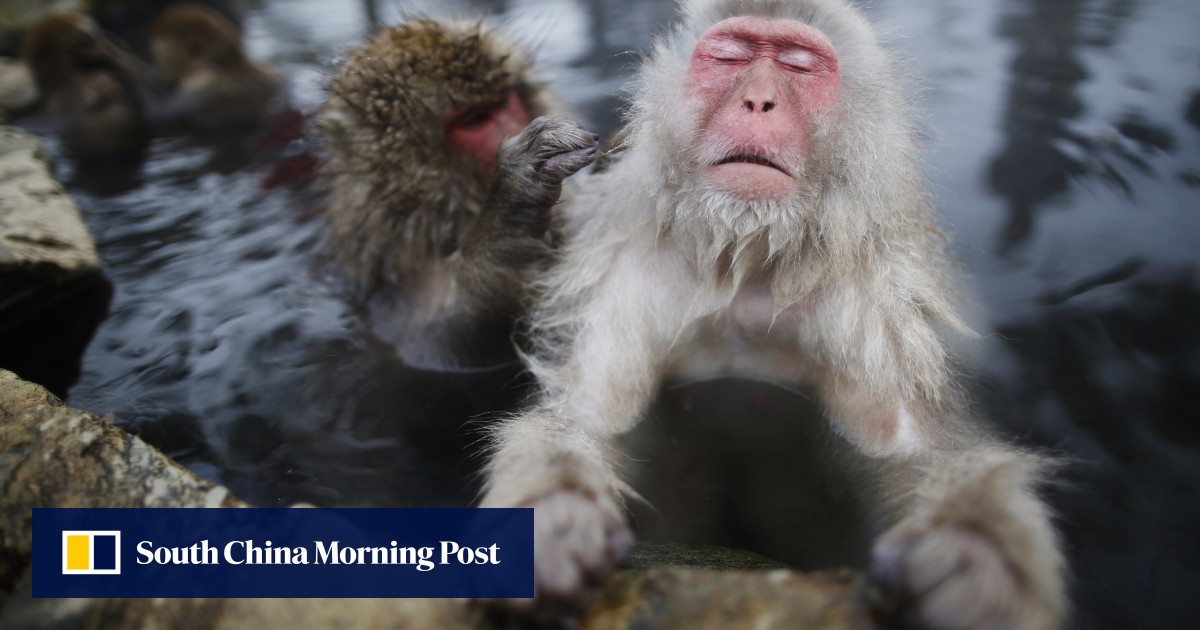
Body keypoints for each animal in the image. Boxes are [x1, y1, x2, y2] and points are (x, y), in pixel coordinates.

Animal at [317, 19, 594, 370]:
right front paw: (510, 208)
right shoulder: (391, 288)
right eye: (474, 120)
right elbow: (439, 345)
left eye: (505, 101)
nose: (518, 125)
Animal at [479, 1, 1067, 628]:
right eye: (730, 56)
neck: (747, 257)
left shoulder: (878, 311)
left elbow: (914, 450)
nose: (758, 101)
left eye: (799, 64)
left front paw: (977, 557)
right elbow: (589, 416)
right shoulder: (622, 277)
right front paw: (552, 517)